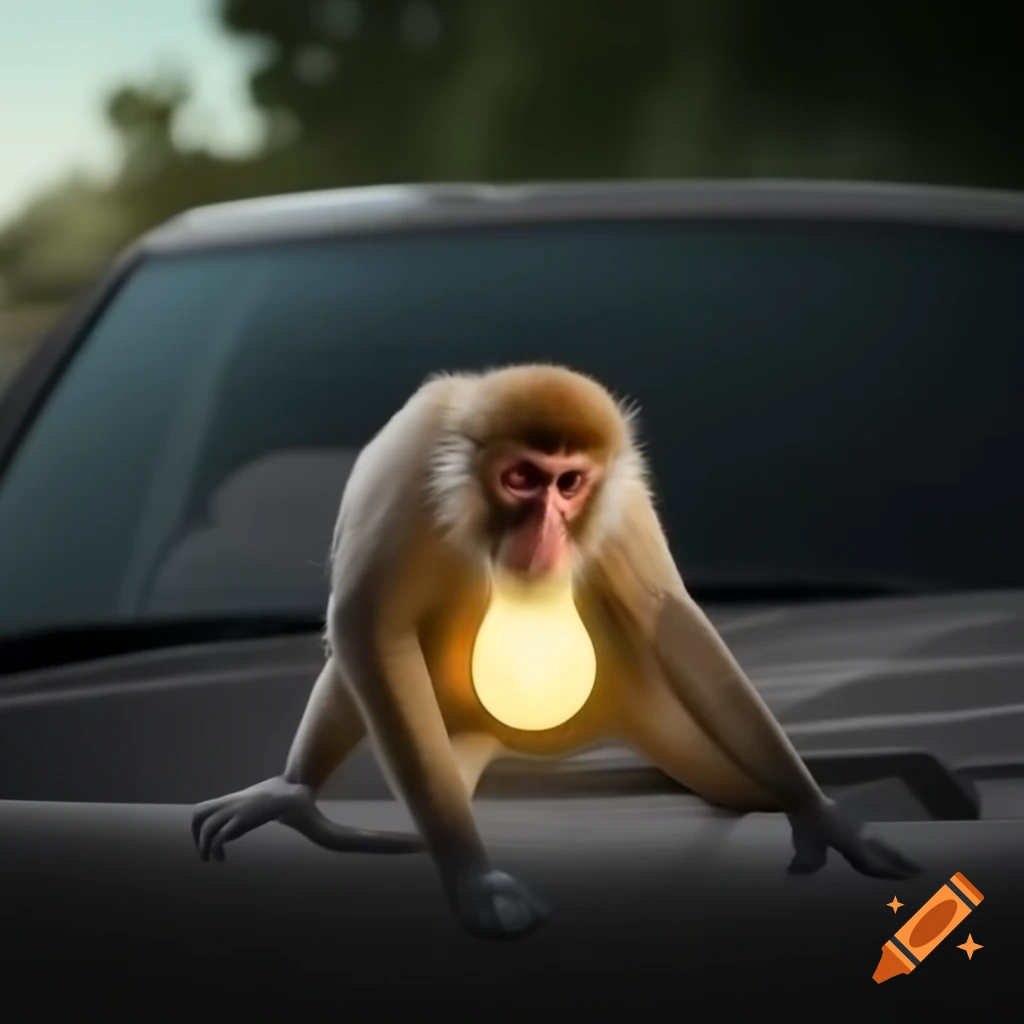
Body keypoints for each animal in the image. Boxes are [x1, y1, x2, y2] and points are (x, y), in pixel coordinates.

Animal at [192, 364, 920, 941]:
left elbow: (668, 617)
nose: (545, 529)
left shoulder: (620, 496)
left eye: (568, 484)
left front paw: (822, 815)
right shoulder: (404, 464)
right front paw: (472, 871)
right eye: (521, 478)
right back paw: (294, 792)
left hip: (635, 693)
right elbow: (369, 626)